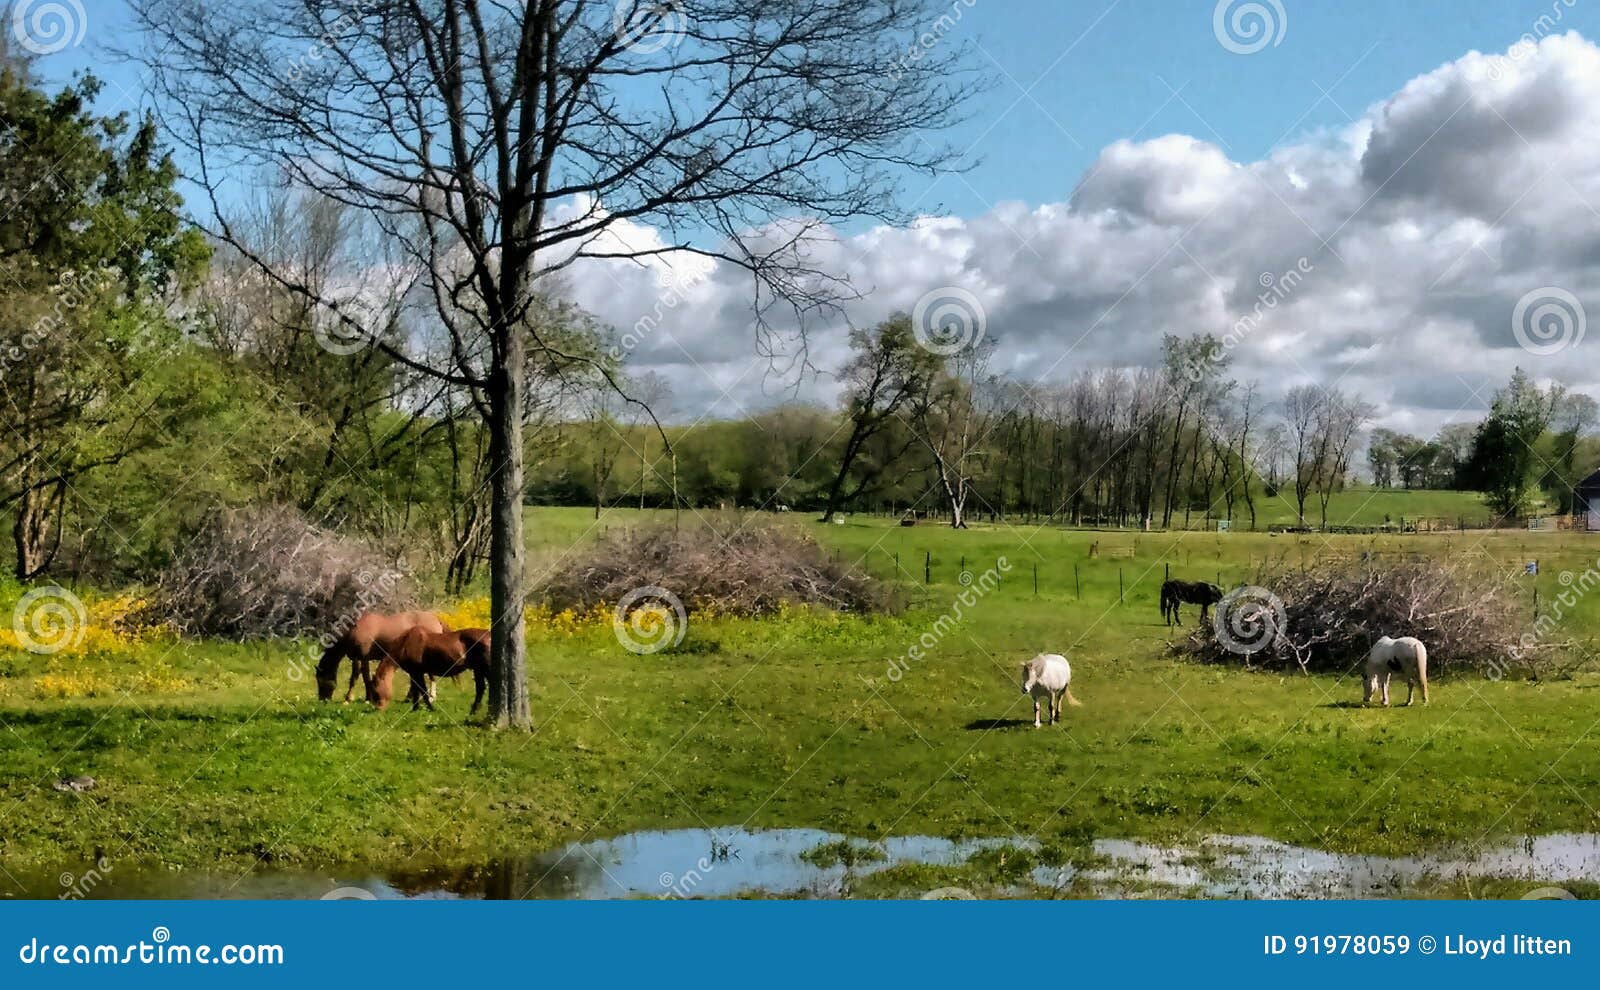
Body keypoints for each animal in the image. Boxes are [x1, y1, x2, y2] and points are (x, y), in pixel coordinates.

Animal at [315, 611, 451, 703]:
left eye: (320, 680)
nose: (322, 700)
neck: (353, 630)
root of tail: (436, 619)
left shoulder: (359, 657)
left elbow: (355, 678)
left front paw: (348, 699)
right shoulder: (365, 659)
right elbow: (366, 677)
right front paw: (368, 698)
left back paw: (431, 697)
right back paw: (409, 698)